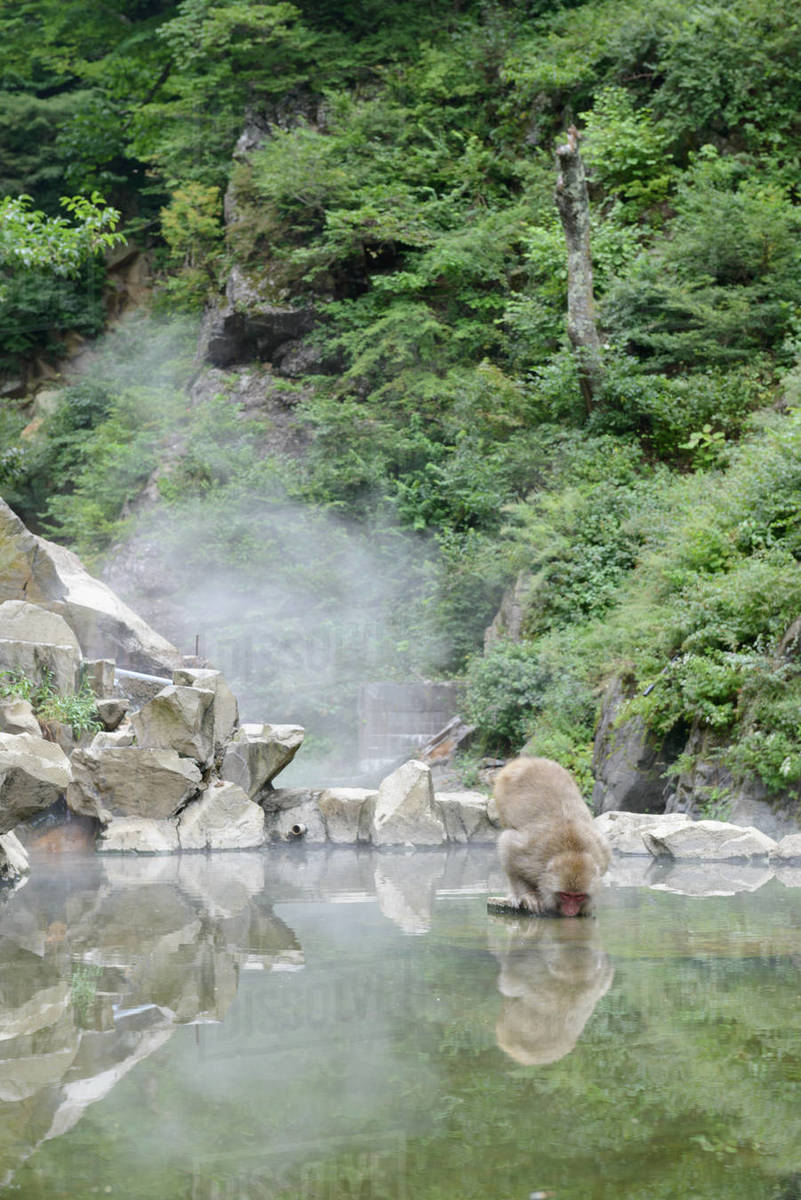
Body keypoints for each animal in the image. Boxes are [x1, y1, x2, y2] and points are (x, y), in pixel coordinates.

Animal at [494, 756, 611, 917]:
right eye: (565, 895)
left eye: (579, 896)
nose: (571, 911)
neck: (573, 850)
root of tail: (528, 760)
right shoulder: (531, 856)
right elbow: (508, 847)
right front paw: (527, 895)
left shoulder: (602, 855)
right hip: (501, 795)